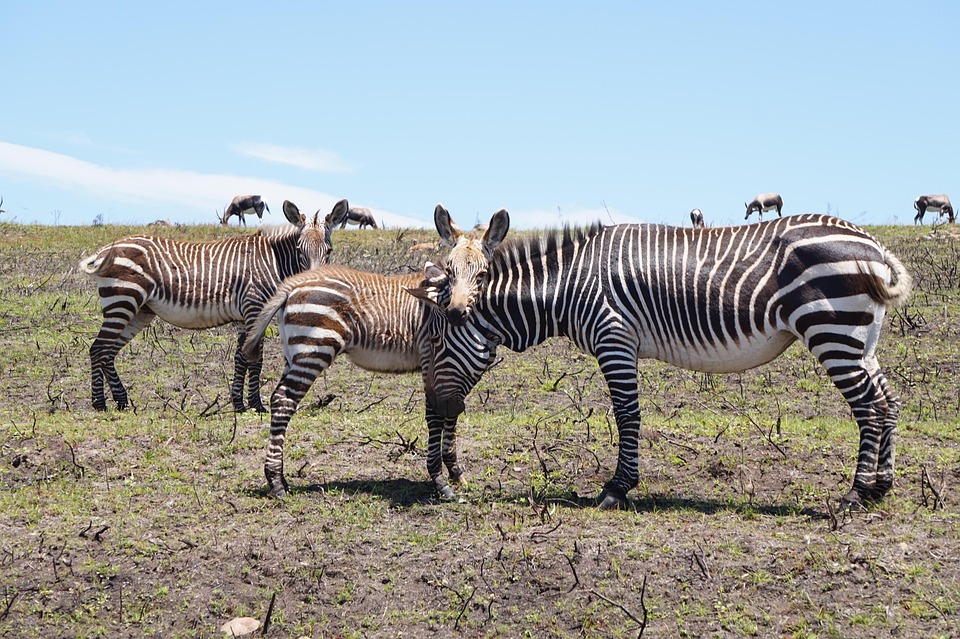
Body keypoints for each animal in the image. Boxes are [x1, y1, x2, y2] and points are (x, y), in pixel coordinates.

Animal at [79, 199, 349, 413]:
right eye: (299, 250)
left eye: (329, 250)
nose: (314, 281)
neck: (273, 261)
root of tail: (107, 249)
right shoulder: (255, 308)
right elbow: (256, 358)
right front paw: (256, 405)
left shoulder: (244, 316)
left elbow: (241, 357)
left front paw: (239, 404)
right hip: (122, 301)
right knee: (98, 349)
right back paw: (99, 403)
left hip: (139, 311)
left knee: (109, 352)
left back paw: (121, 401)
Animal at [240, 251, 468, 498]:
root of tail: (294, 284)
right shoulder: (444, 361)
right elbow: (444, 411)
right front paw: (448, 474)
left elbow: (450, 410)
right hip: (314, 348)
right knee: (284, 400)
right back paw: (276, 482)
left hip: (292, 354)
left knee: (279, 397)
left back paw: (280, 478)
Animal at [408, 210, 913, 510]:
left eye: (435, 340)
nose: (437, 408)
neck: (567, 287)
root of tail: (873, 244)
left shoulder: (614, 338)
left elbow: (627, 415)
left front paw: (617, 488)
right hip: (860, 339)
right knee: (888, 402)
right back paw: (881, 487)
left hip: (833, 331)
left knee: (869, 407)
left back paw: (855, 493)